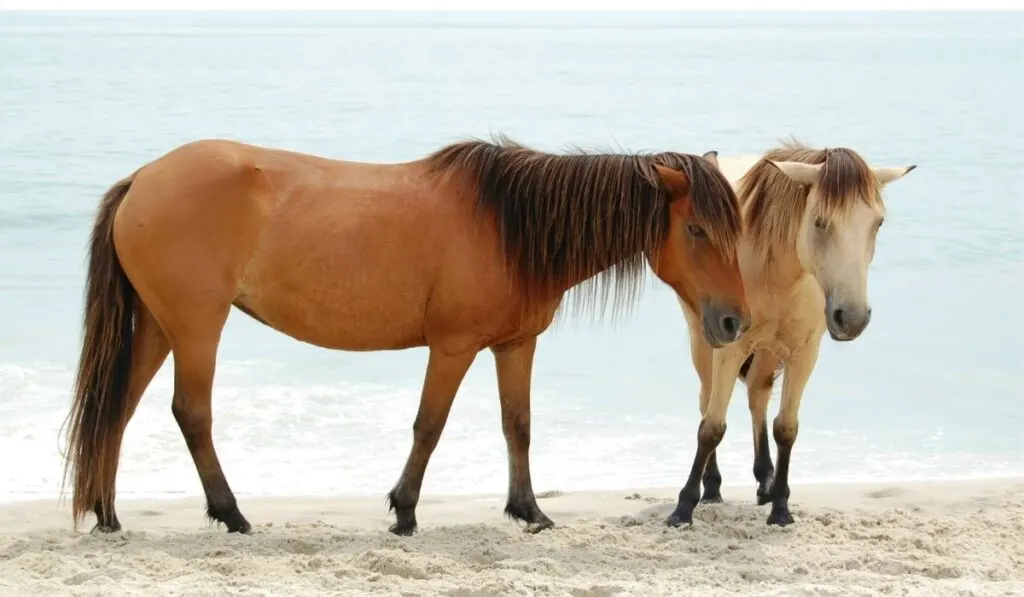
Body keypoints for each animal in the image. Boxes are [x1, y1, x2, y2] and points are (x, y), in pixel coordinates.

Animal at [60, 135, 752, 537]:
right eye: (696, 230)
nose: (732, 323)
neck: (510, 223)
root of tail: (142, 178)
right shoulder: (452, 347)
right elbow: (430, 425)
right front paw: (406, 511)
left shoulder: (515, 345)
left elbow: (518, 425)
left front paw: (528, 510)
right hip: (198, 326)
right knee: (191, 413)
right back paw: (230, 514)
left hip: (158, 326)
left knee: (117, 410)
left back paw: (109, 514)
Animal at [663, 140, 916, 528]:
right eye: (820, 222)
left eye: (878, 222)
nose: (852, 318)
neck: (775, 272)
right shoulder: (729, 348)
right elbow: (711, 427)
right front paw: (683, 508)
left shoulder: (804, 353)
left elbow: (786, 427)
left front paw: (781, 506)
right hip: (702, 341)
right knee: (707, 399)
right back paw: (714, 486)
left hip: (768, 352)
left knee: (758, 395)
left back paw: (765, 481)